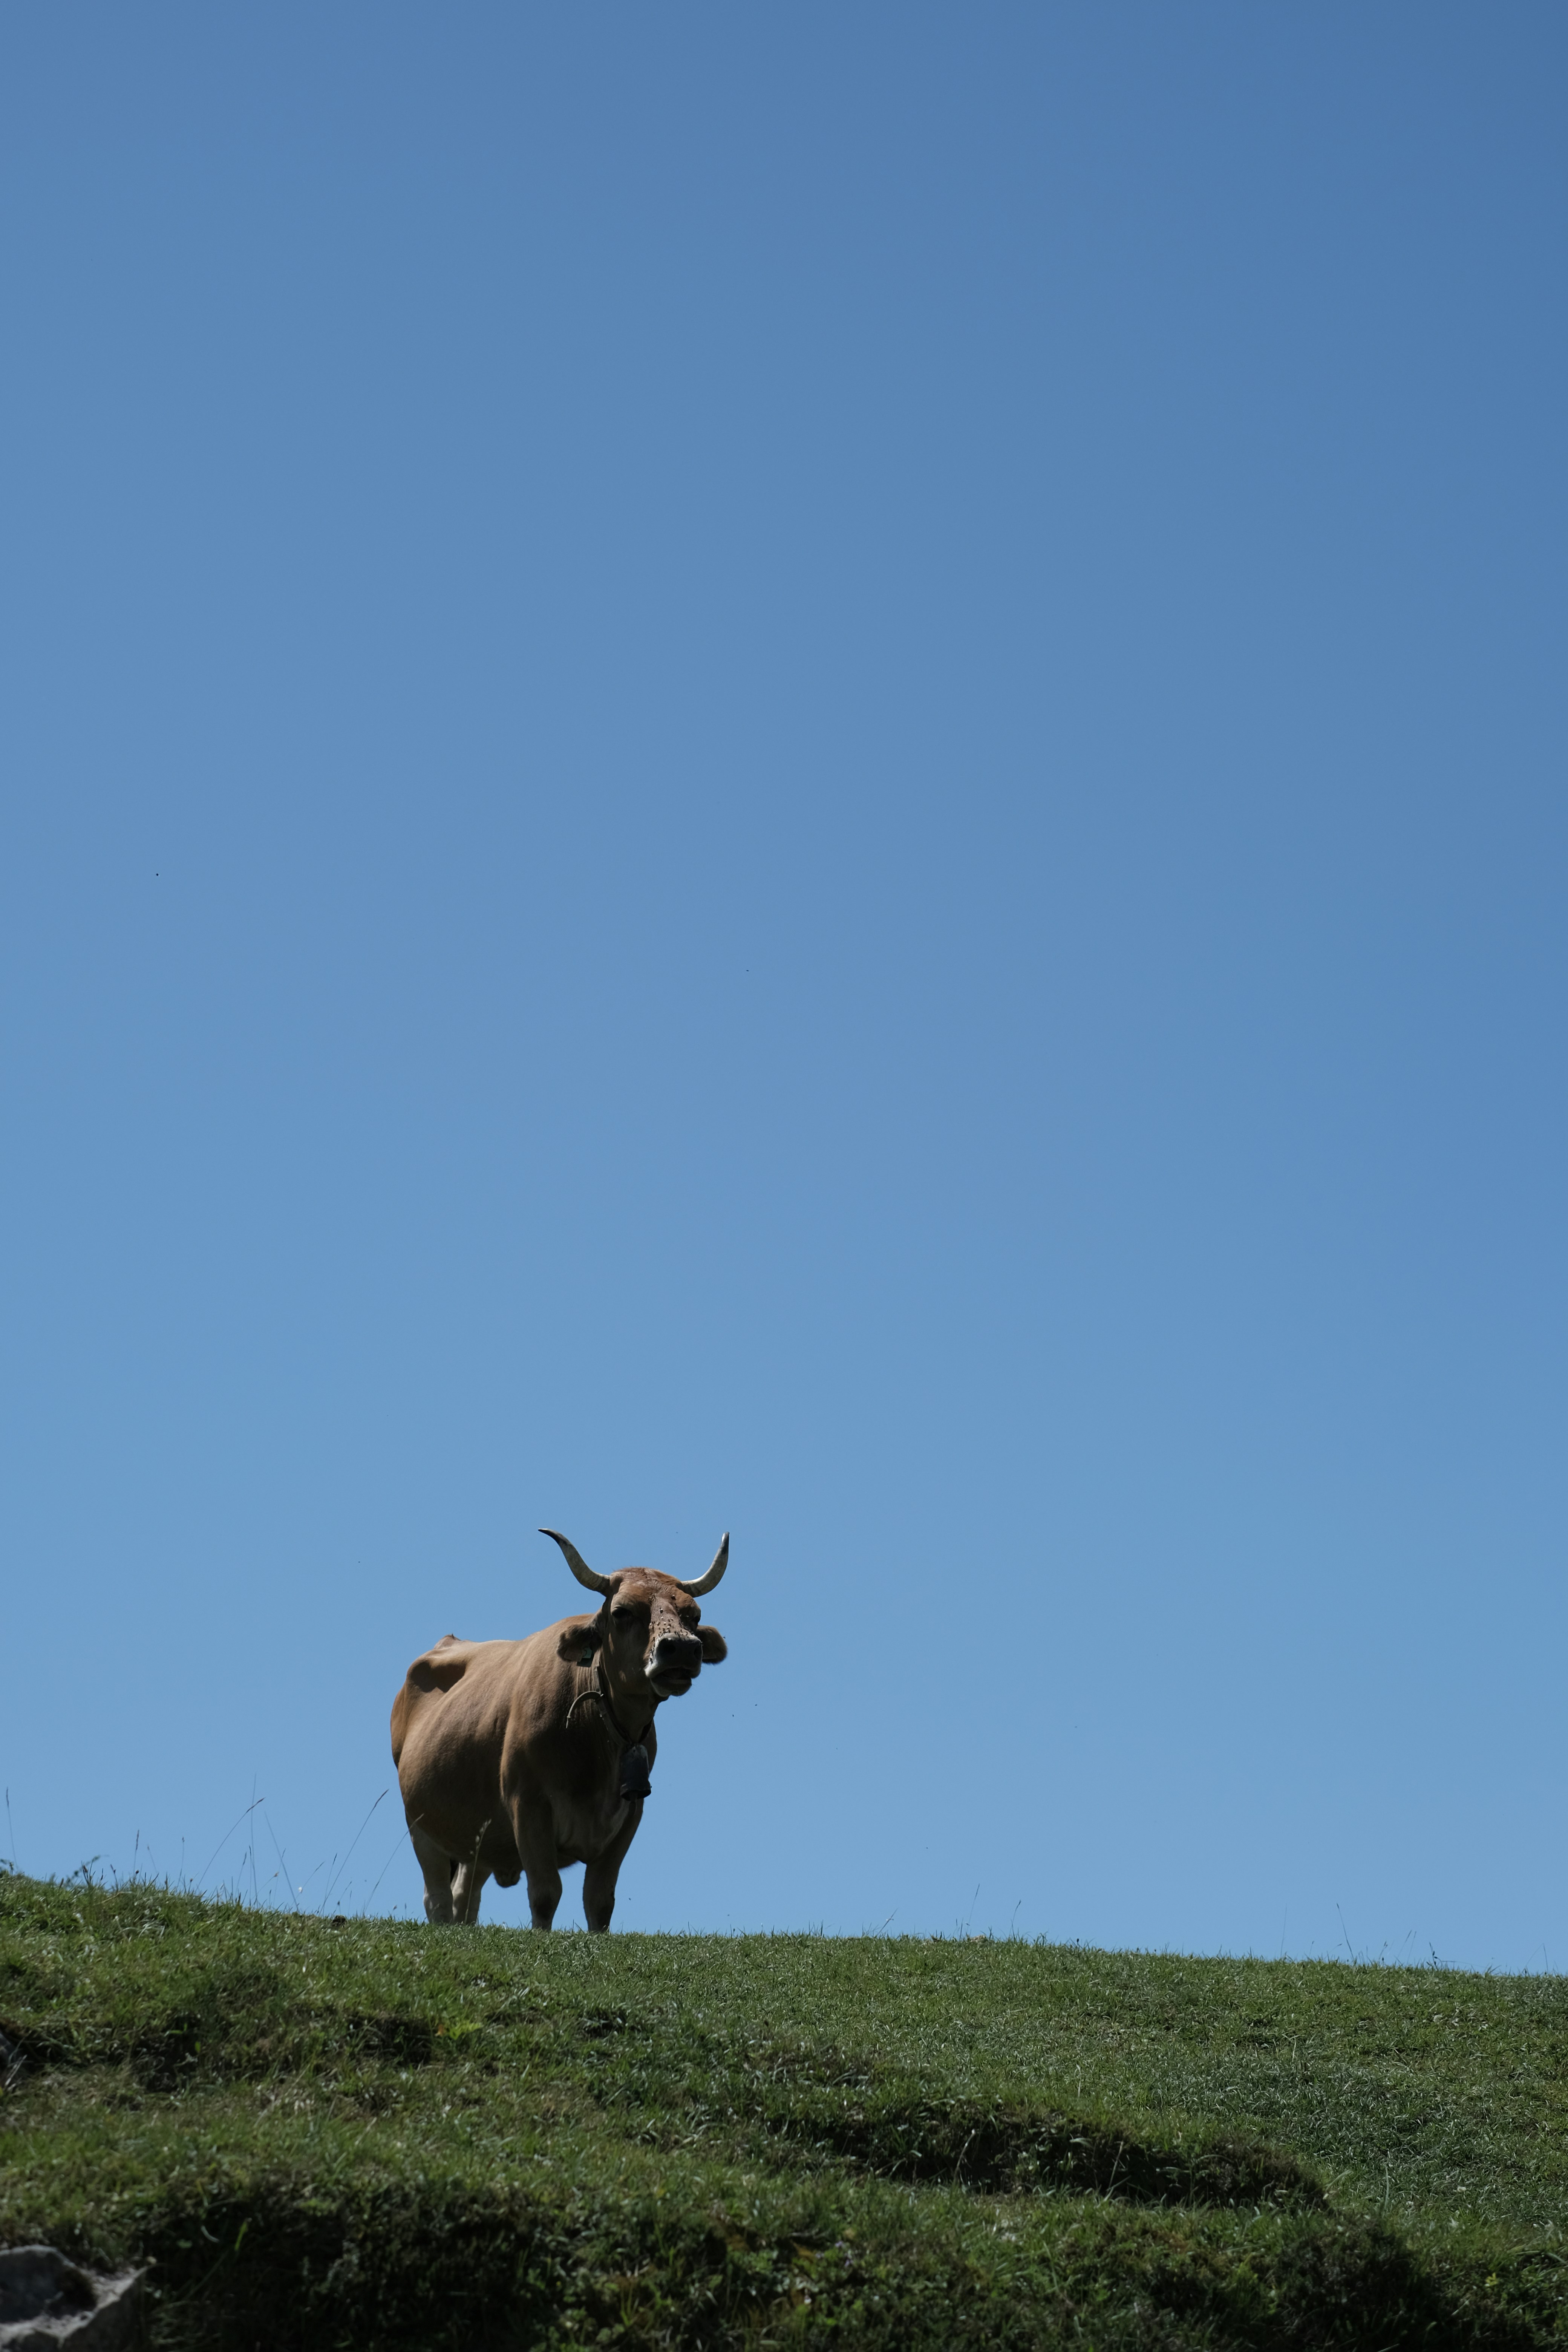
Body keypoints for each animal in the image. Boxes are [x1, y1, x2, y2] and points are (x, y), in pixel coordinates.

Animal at [390, 1527, 730, 1931]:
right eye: (622, 1612)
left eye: (693, 1614)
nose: (680, 1649)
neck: (599, 1742)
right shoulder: (528, 1807)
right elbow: (545, 1893)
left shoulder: (630, 1816)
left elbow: (599, 1900)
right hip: (422, 1827)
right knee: (438, 1898)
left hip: (478, 1840)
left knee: (465, 1897)